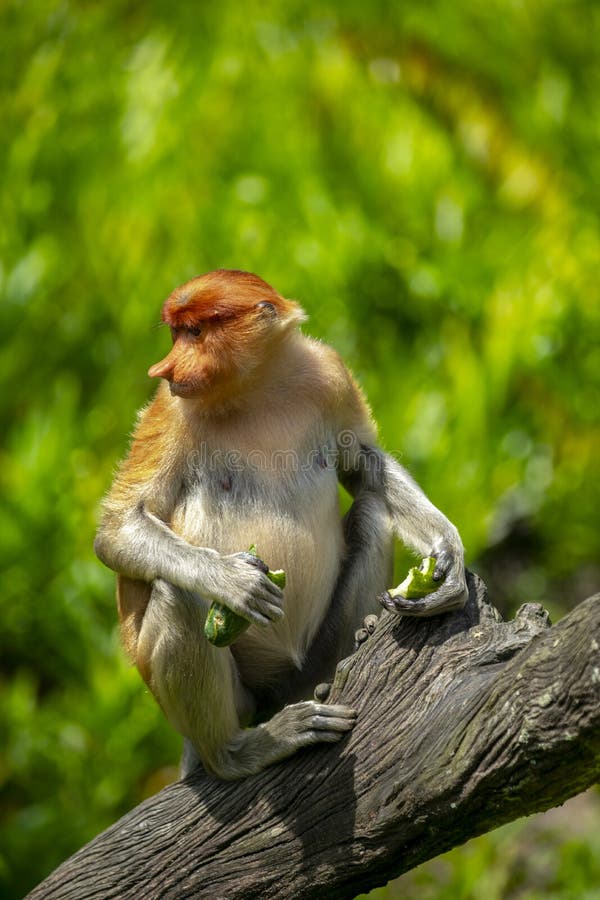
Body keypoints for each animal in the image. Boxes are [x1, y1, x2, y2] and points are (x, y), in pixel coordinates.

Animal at [94, 269, 468, 781]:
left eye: (195, 332)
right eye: (177, 334)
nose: (163, 370)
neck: (253, 387)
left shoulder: (330, 373)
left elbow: (364, 463)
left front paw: (449, 560)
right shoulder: (167, 412)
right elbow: (117, 528)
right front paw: (234, 581)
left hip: (309, 666)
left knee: (373, 514)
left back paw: (361, 636)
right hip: (228, 700)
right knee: (178, 593)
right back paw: (238, 753)